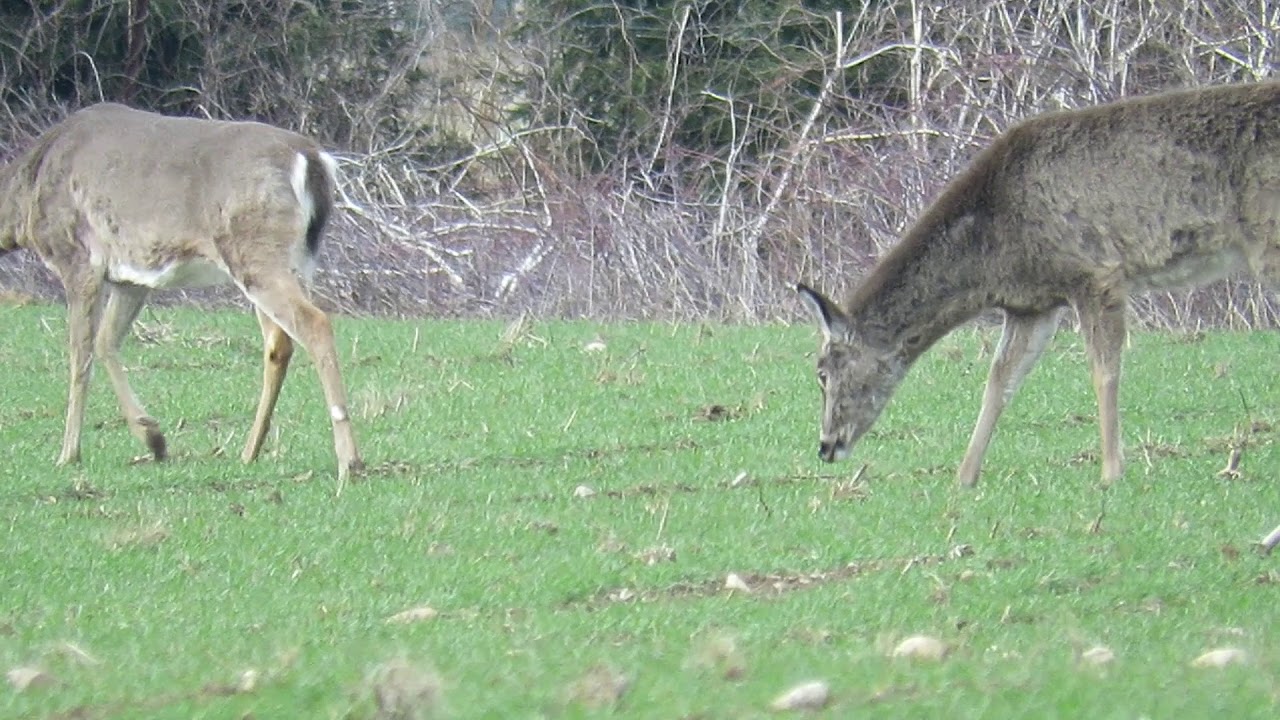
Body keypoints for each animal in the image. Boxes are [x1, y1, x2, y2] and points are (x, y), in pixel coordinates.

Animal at [0, 103, 362, 483]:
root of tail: (313, 158)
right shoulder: (131, 279)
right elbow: (105, 343)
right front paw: (154, 439)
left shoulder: (78, 260)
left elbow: (79, 357)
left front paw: (68, 455)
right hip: (294, 260)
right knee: (279, 343)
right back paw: (249, 452)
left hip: (255, 249)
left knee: (314, 323)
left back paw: (348, 461)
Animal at [798, 80, 1280, 488]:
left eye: (822, 372)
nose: (826, 445)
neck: (991, 251)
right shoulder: (1033, 303)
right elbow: (999, 381)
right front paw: (964, 478)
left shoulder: (1094, 271)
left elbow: (1103, 371)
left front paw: (1111, 473)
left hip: (1269, 240)